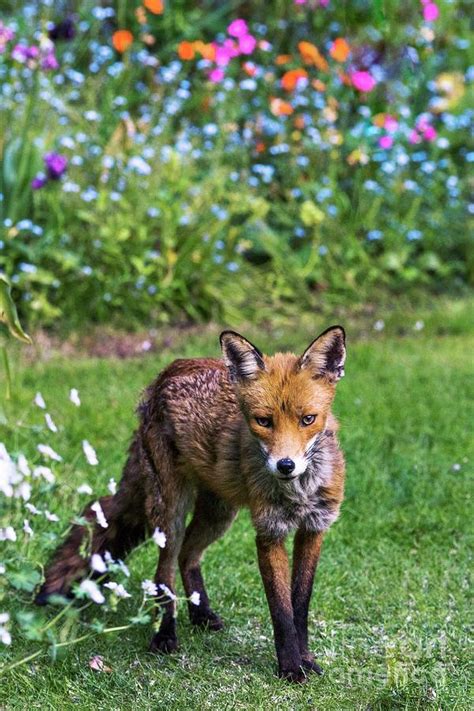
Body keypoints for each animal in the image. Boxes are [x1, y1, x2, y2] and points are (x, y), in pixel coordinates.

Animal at [35, 325, 346, 683]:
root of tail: (165, 374)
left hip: (219, 513)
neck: (298, 492)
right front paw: (291, 667)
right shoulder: (269, 533)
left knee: (188, 555)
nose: (285, 466)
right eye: (263, 421)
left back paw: (201, 614)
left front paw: (306, 658)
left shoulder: (314, 528)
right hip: (171, 511)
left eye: (308, 419)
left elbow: (300, 604)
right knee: (165, 572)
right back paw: (165, 634)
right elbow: (281, 611)